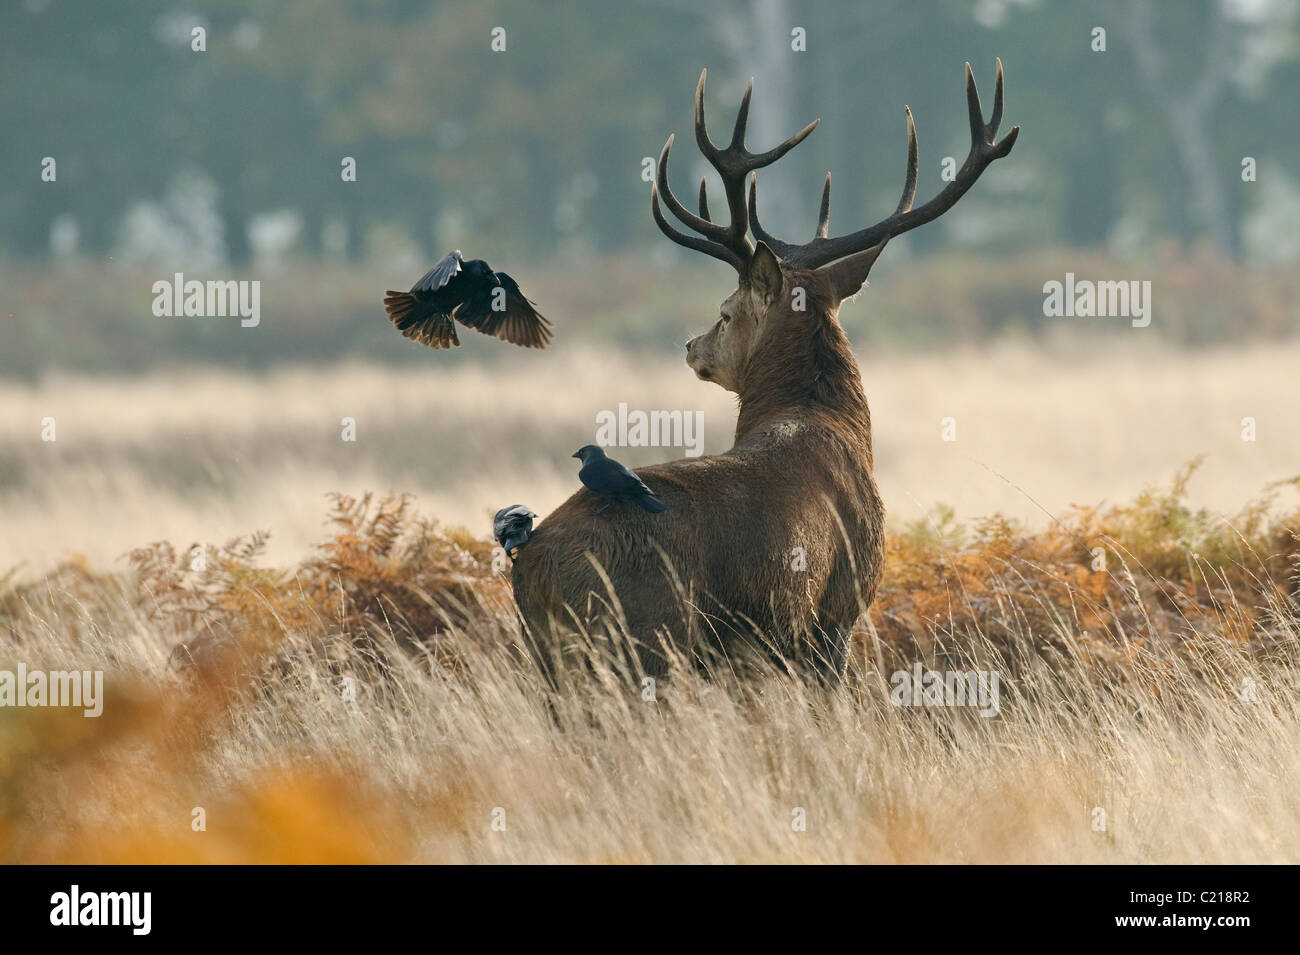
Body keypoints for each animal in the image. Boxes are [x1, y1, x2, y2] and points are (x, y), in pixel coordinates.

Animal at [511, 61, 1018, 687]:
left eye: (725, 312)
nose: (690, 345)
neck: (831, 424)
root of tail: (531, 566)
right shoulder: (837, 609)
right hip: (646, 637)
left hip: (553, 655)